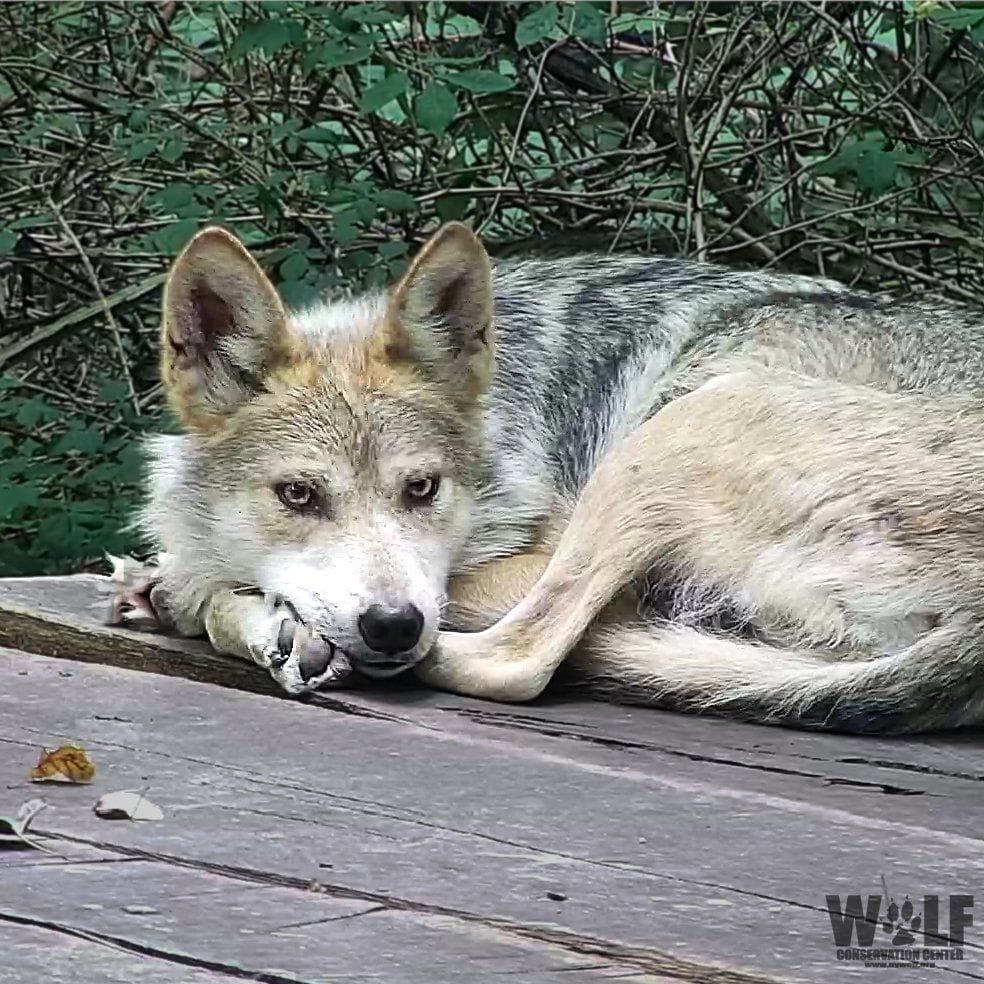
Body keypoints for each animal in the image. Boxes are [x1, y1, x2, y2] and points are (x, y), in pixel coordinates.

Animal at [119, 221, 984, 734]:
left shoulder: (538, 559)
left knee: (520, 661)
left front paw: (199, 597)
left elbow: (205, 584)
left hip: (685, 425)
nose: (392, 626)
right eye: (298, 495)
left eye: (422, 489)